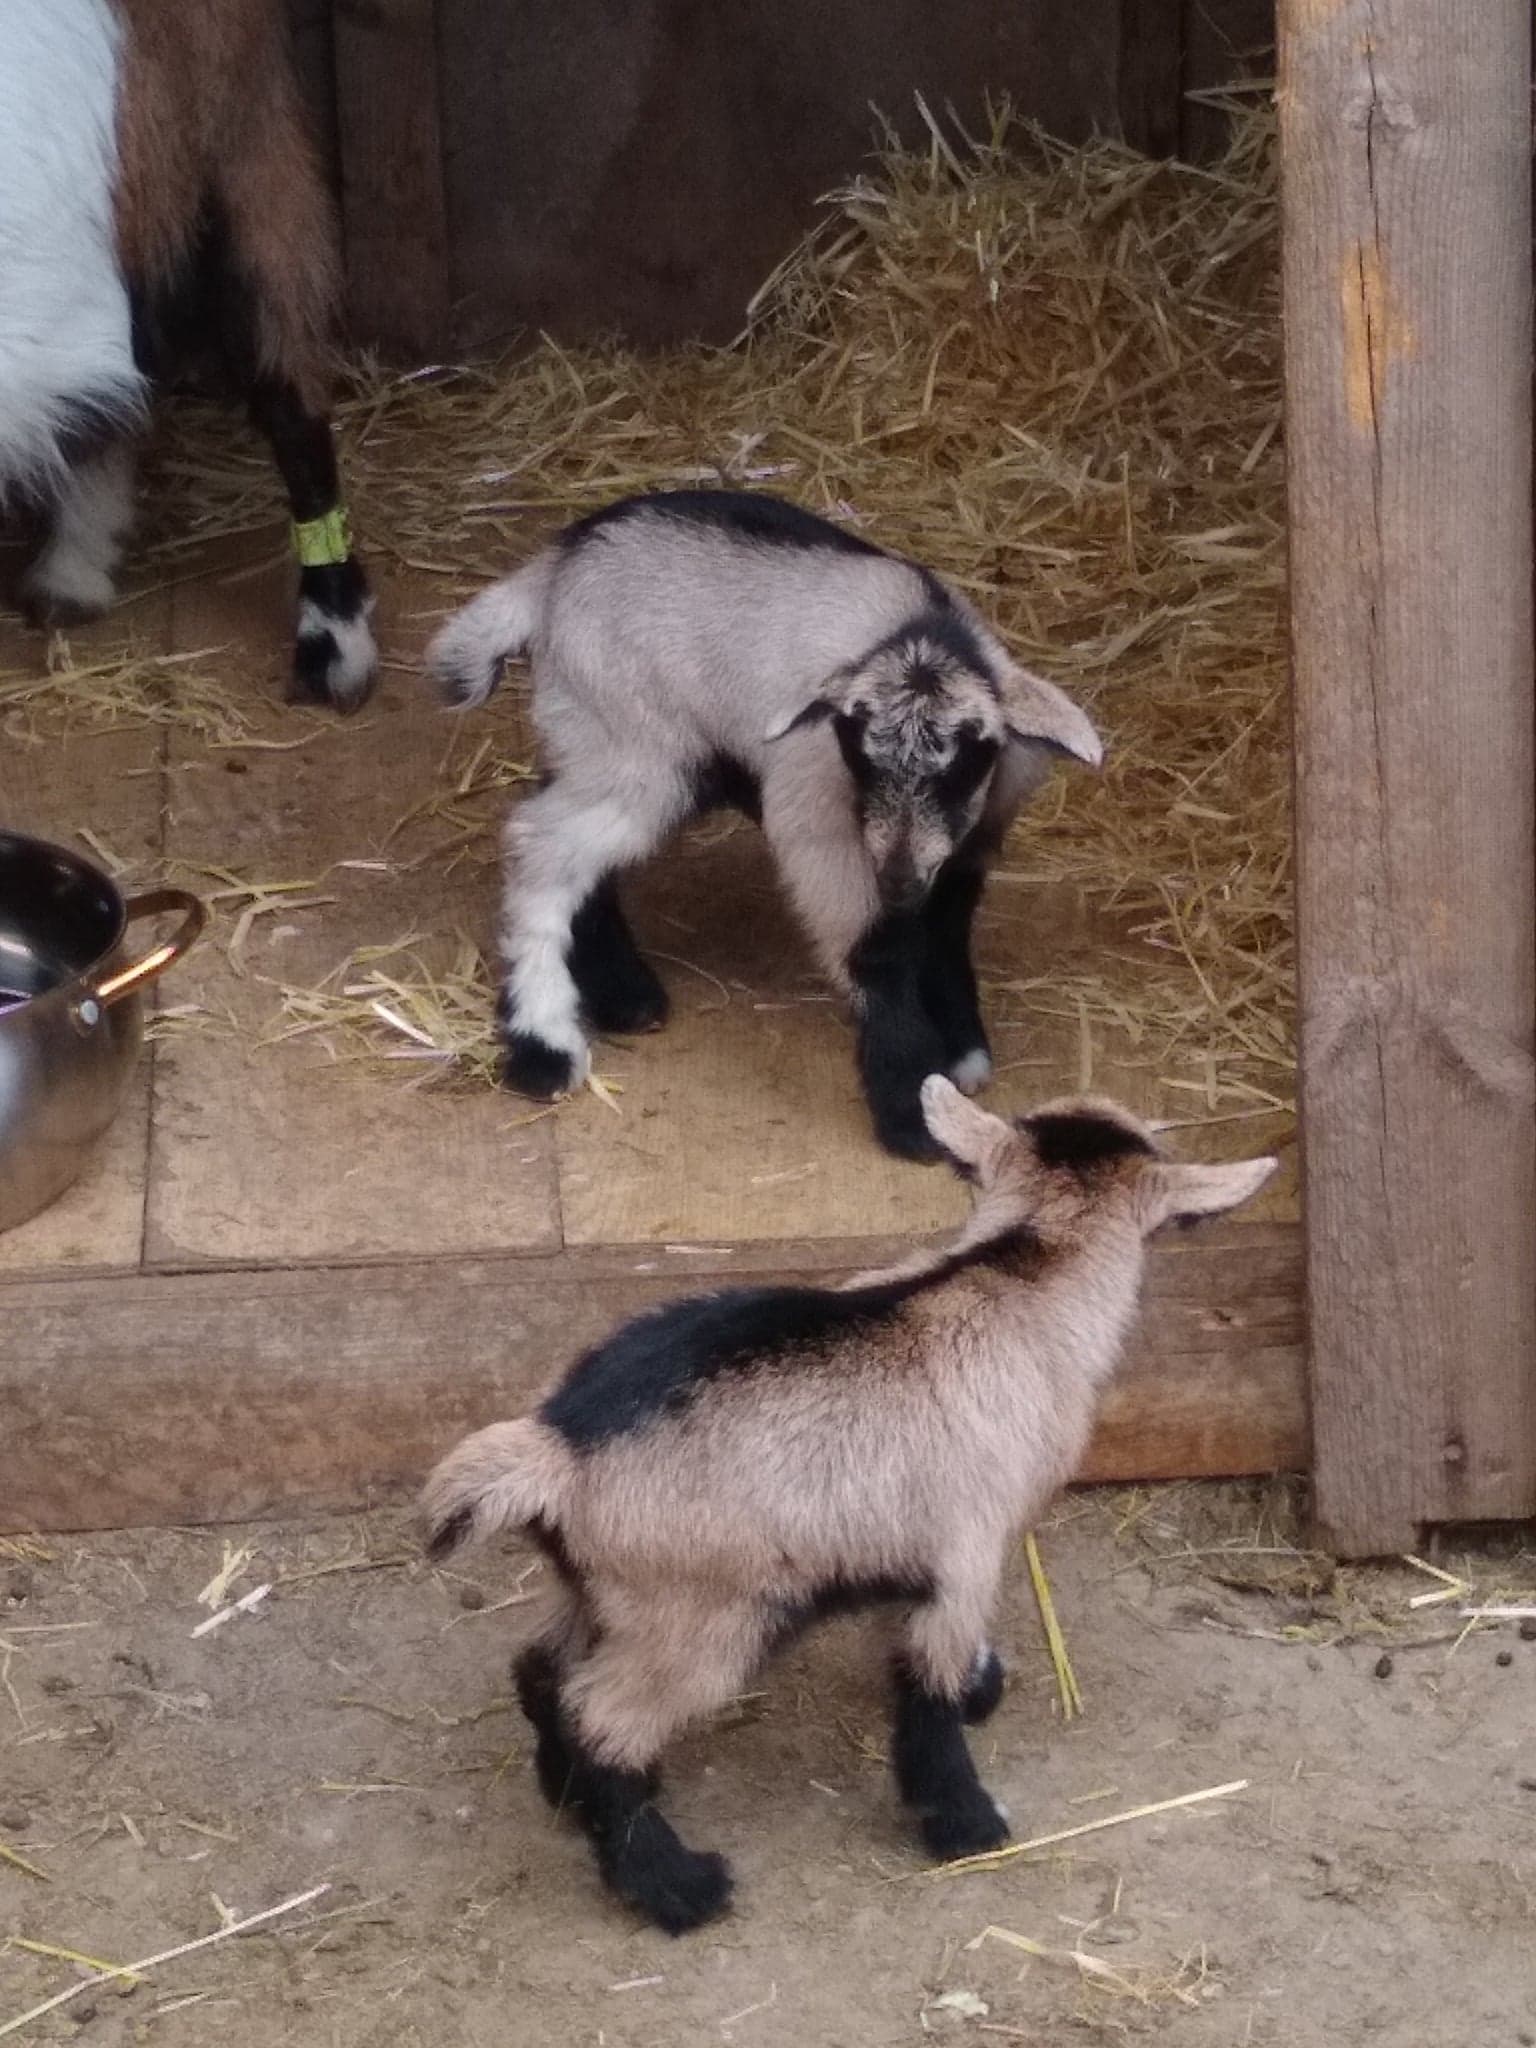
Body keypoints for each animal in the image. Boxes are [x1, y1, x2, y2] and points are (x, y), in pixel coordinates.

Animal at [422, 1077, 1276, 1933]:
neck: (1019, 1278)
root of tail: (557, 1445)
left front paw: (981, 1692)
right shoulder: (968, 1552)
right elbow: (928, 1692)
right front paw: (965, 1823)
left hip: (606, 1593)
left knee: (544, 1671)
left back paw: (567, 1796)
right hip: (703, 1618)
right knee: (602, 1723)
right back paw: (678, 1886)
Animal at [426, 491, 1101, 1157]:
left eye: (962, 763)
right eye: (859, 754)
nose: (898, 879)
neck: (921, 627)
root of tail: (554, 565)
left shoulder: (967, 844)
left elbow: (945, 927)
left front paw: (960, 1047)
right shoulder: (821, 828)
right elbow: (876, 951)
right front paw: (913, 1115)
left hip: (604, 737)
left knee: (573, 843)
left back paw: (624, 995)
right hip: (634, 742)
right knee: (539, 846)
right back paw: (544, 1046)